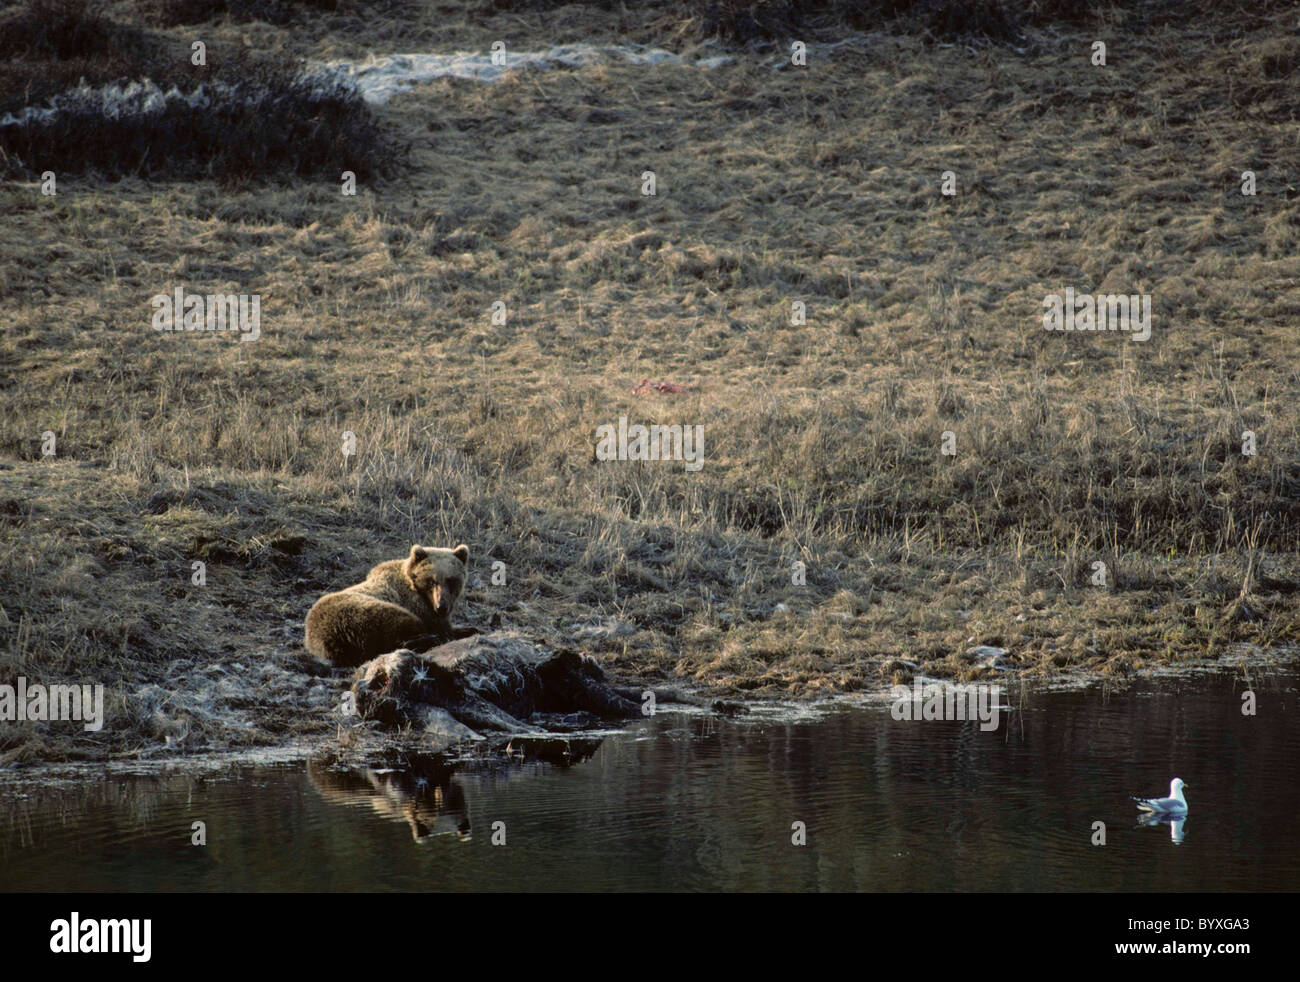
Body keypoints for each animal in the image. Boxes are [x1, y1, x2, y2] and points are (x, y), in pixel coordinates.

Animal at [304, 544, 476, 668]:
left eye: (451, 580)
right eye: (432, 581)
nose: (442, 606)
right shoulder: (418, 606)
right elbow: (442, 628)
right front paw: (466, 630)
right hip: (362, 612)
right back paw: (428, 639)